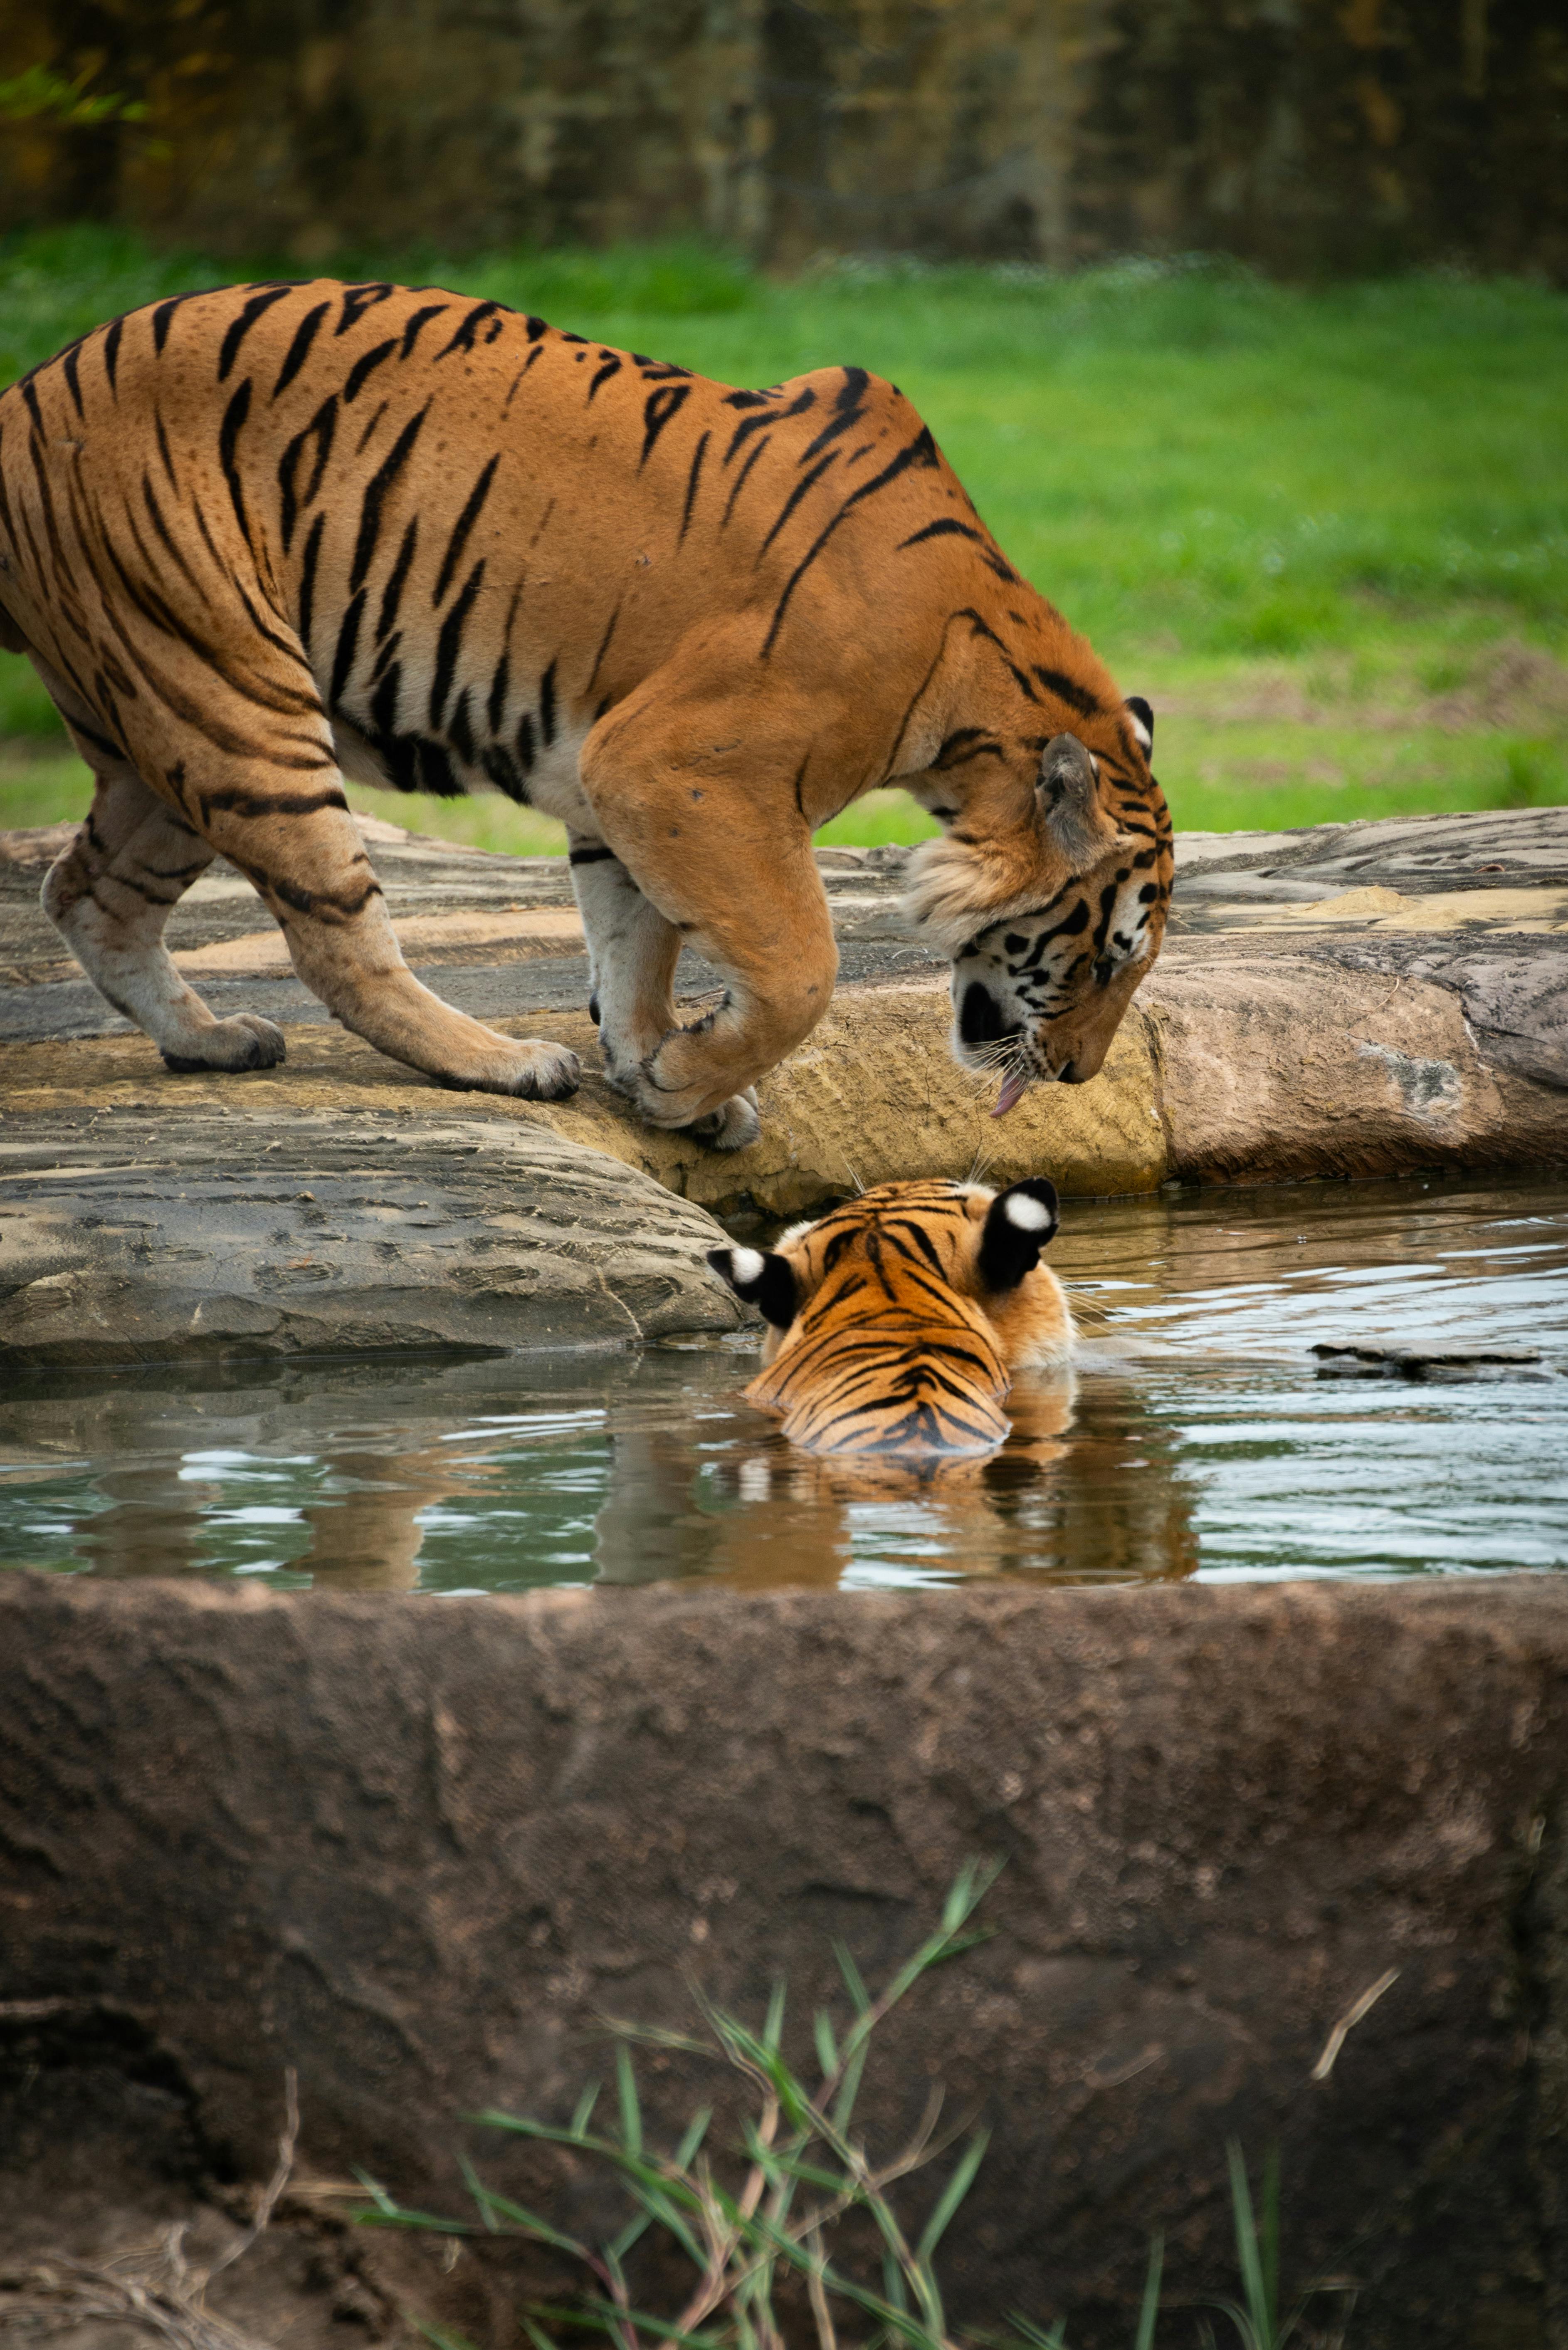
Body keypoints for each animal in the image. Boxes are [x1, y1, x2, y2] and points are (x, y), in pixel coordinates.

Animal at [0, 278, 1172, 1146]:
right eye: (1105, 956)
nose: (1077, 1076)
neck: (979, 700)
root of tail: (29, 388)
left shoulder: (624, 785)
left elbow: (635, 940)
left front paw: (661, 1072)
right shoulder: (677, 767)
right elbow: (800, 968)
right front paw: (679, 1080)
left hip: (164, 722)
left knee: (88, 891)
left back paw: (211, 1042)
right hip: (241, 700)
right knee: (334, 934)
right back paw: (503, 1063)